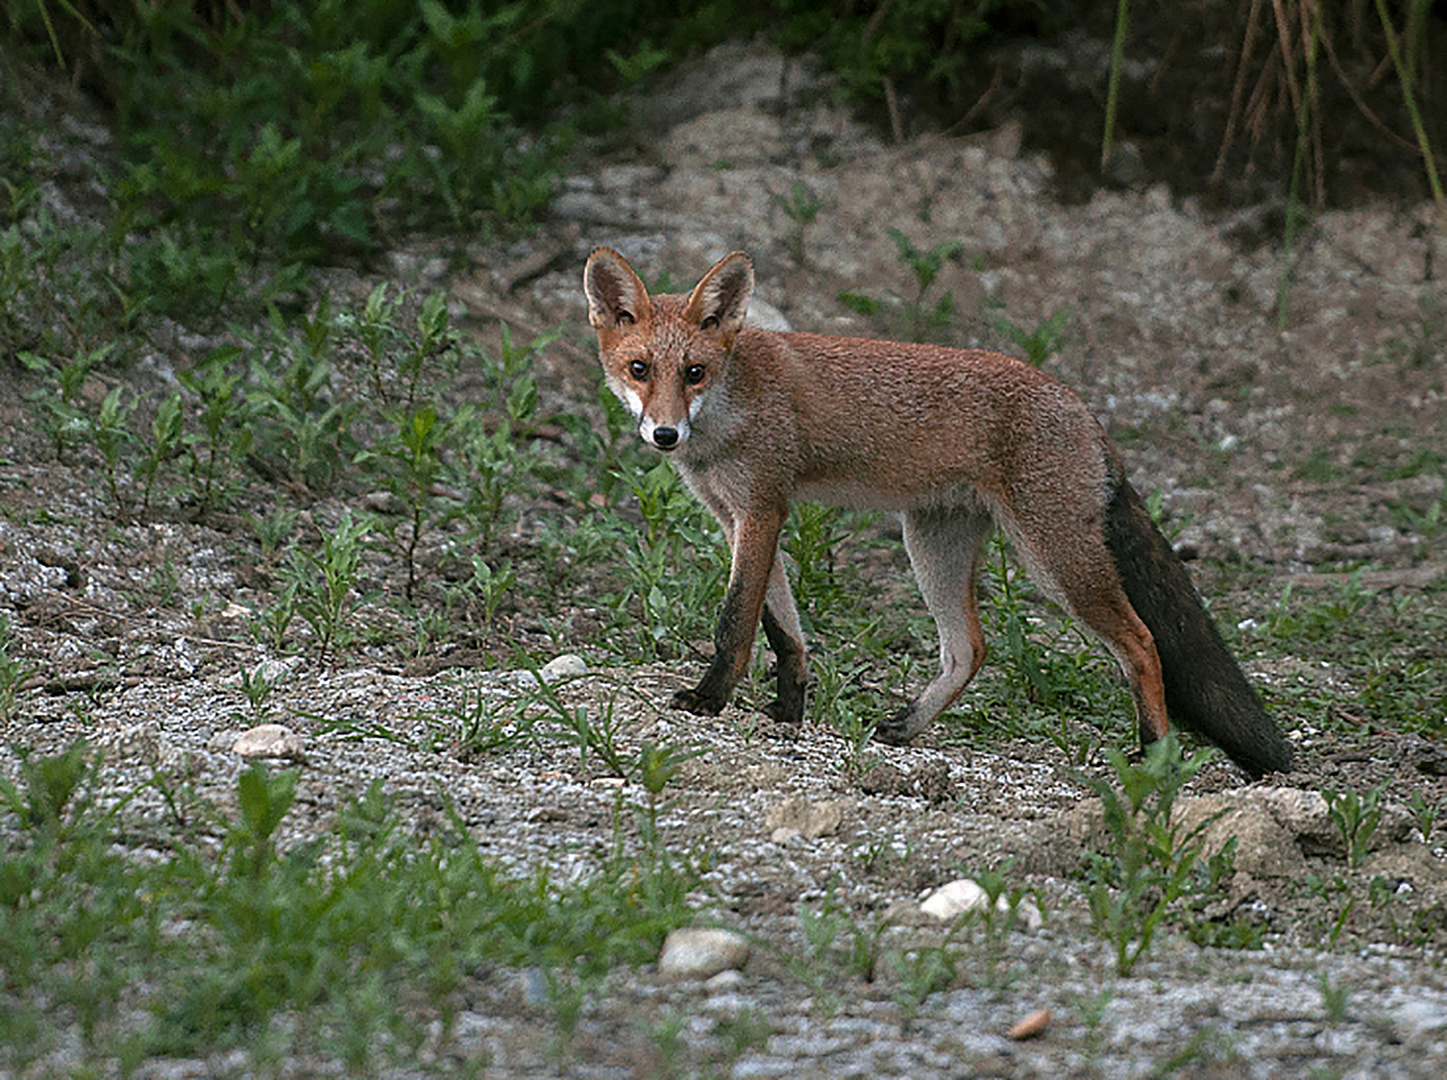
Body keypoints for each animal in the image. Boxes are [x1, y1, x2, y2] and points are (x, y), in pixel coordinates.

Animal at [583, 246, 1292, 778]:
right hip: (931, 547)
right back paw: (908, 727)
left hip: (1053, 559)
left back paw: (1153, 754)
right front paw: (788, 713)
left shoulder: (762, 509)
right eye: (640, 369)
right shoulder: (738, 519)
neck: (732, 411)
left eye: (694, 372)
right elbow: (786, 632)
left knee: (1143, 643)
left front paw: (709, 699)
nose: (665, 434)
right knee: (969, 649)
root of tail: (1083, 409)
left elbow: (735, 624)